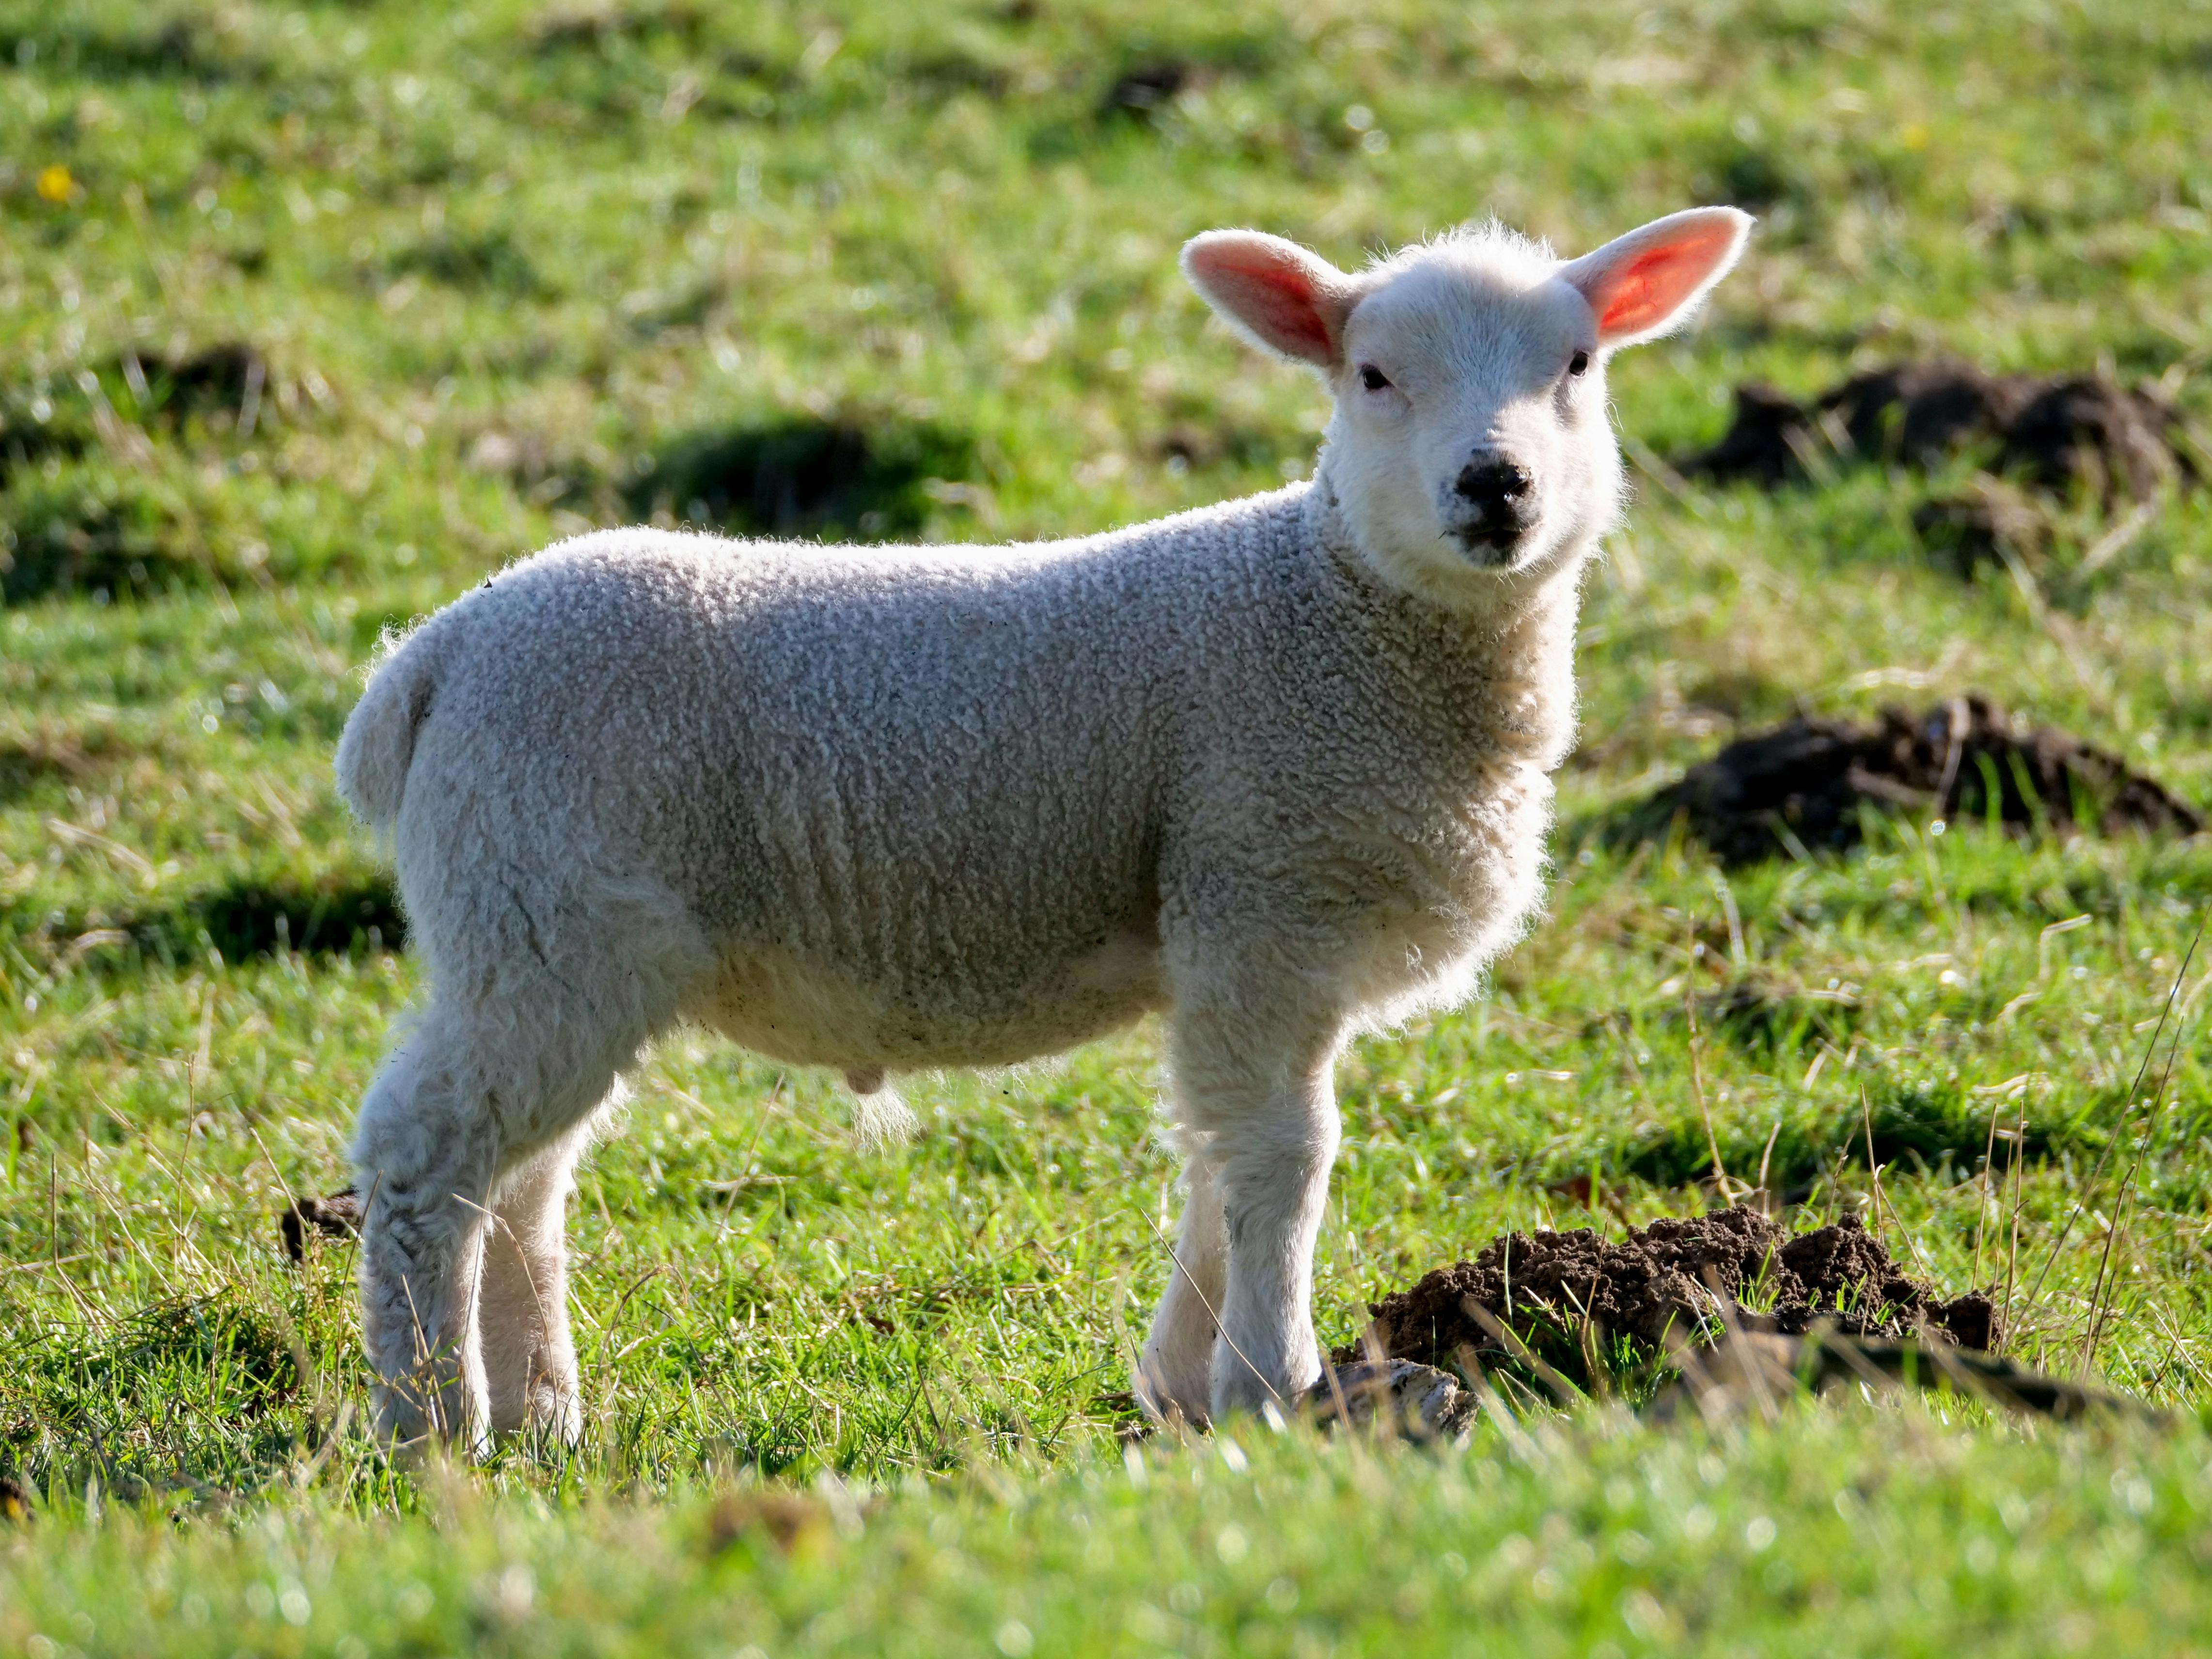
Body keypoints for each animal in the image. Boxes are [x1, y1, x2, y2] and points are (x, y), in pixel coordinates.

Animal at [335, 205, 1751, 1447]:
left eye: (1577, 365)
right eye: (1372, 375)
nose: (1494, 485)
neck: (1334, 613)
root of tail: (435, 656)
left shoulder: (1235, 941)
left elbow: (1218, 1155)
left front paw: (1186, 1384)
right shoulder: (1261, 895)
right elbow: (1282, 1160)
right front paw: (1275, 1387)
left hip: (549, 938)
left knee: (523, 1177)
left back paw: (539, 1411)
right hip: (543, 908)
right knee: (423, 1159)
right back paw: (431, 1424)